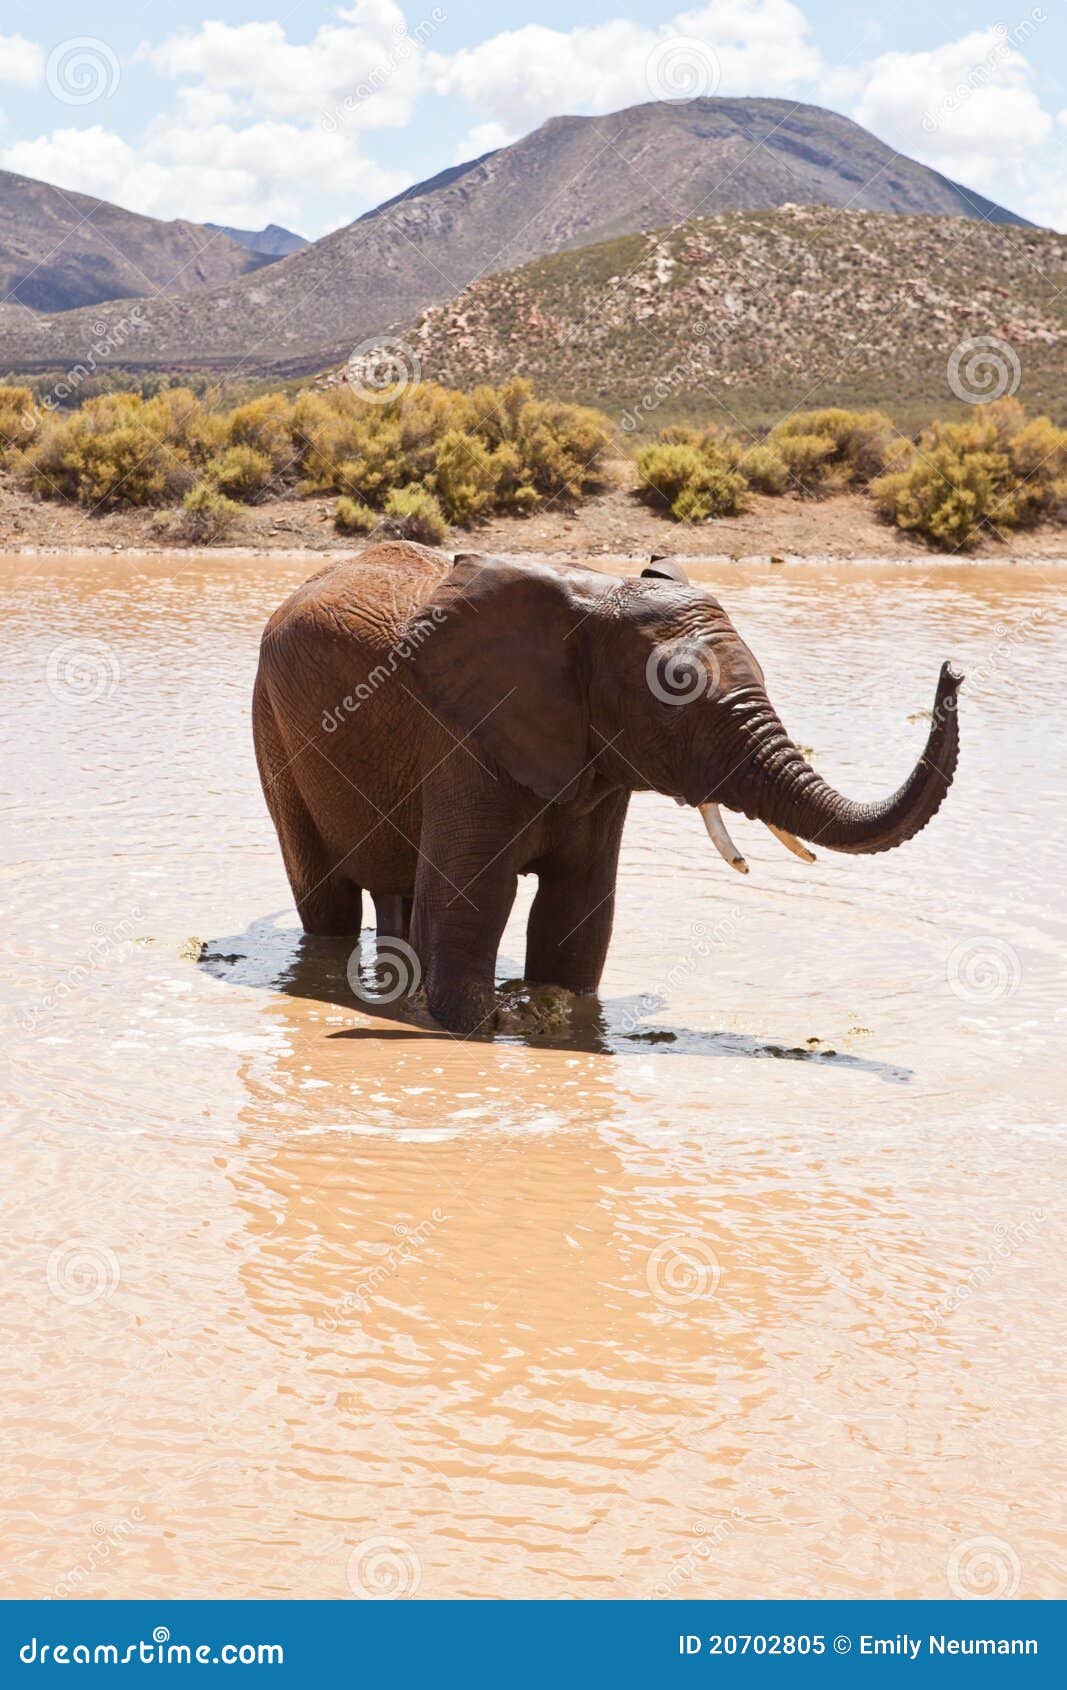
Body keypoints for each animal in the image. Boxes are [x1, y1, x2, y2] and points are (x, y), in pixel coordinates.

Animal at [253, 542, 962, 1035]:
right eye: (677, 690)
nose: (953, 669)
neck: (591, 599)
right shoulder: (465, 740)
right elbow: (469, 905)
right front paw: (470, 1031)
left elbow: (578, 909)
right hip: (273, 727)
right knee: (327, 901)